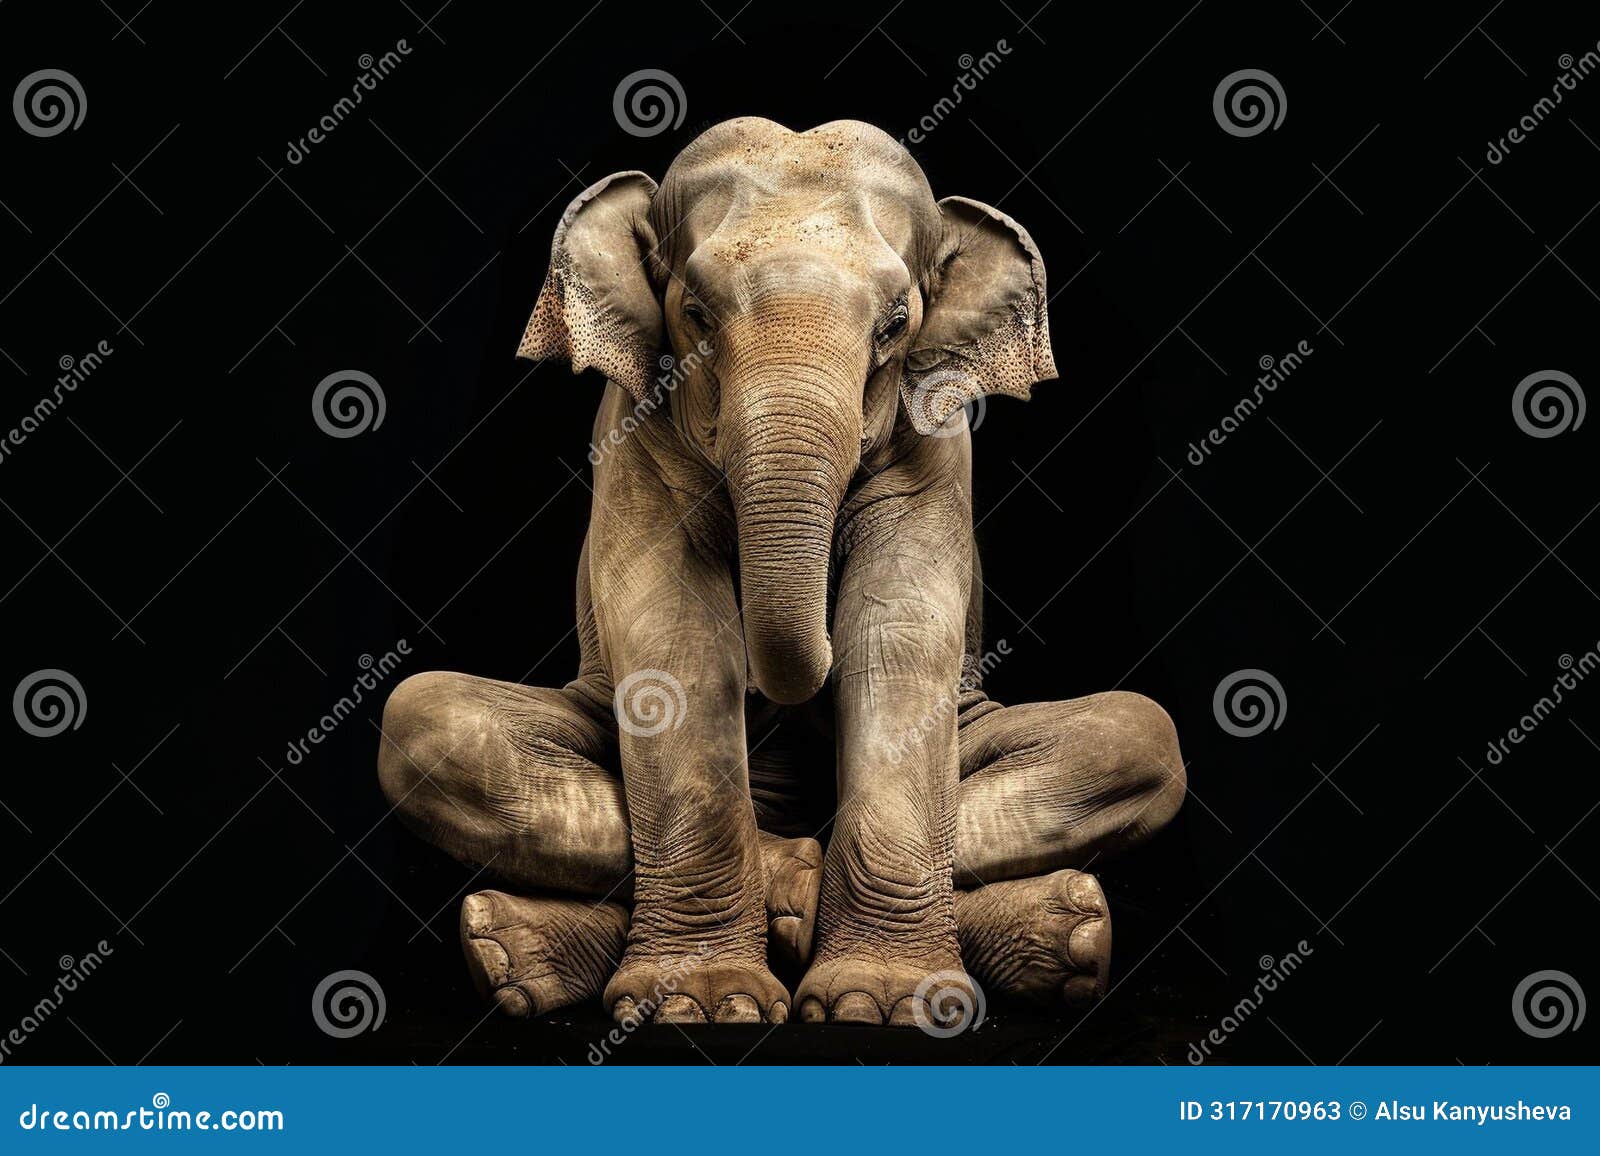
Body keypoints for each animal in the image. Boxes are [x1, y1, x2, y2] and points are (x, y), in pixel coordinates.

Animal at [375, 117, 1185, 1029]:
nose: (787, 690)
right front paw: (703, 1005)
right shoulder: (635, 436)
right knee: (429, 720)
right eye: (694, 314)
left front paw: (879, 1004)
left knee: (1138, 734)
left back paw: (1054, 936)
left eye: (894, 324)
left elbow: (895, 637)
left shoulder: (934, 451)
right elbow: (678, 642)